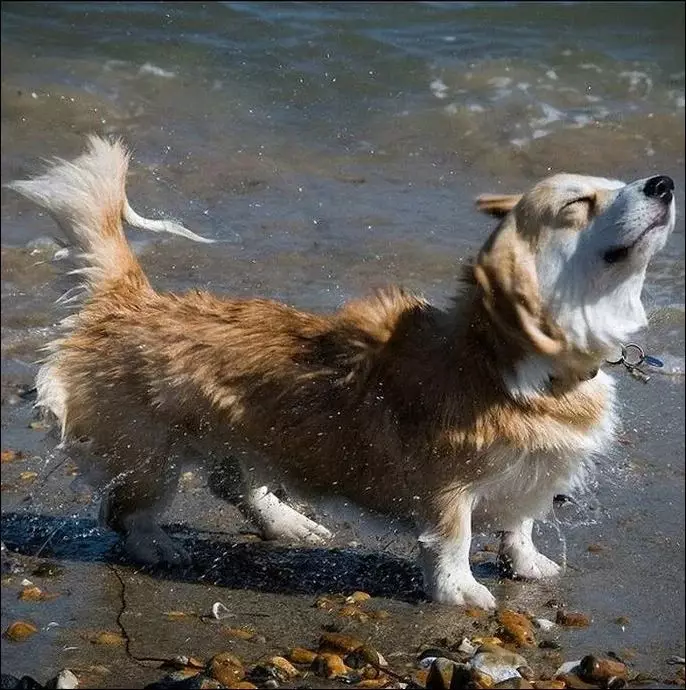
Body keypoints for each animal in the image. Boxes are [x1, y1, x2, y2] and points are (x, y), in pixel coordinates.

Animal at [8, 136, 676, 608]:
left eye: (617, 184)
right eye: (578, 204)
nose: (666, 182)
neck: (520, 361)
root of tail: (129, 299)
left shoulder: (532, 476)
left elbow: (520, 525)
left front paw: (529, 566)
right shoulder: (447, 486)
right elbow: (456, 538)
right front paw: (460, 593)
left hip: (239, 433)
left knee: (232, 483)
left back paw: (291, 522)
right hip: (152, 456)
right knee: (126, 513)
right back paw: (161, 547)